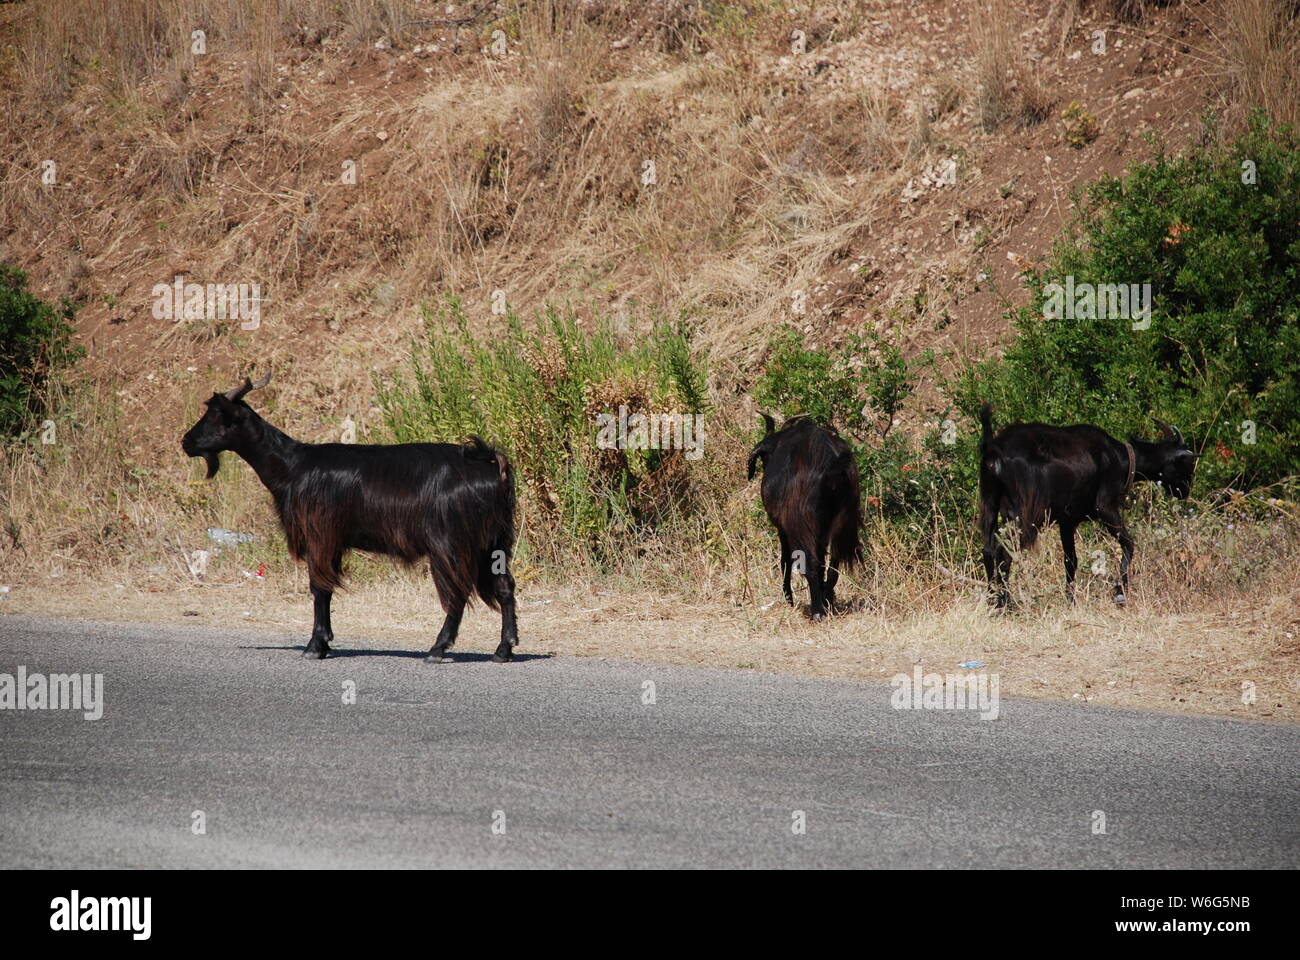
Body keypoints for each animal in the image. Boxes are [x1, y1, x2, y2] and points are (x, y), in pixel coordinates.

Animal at [181, 373, 520, 662]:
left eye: (216, 416)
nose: (186, 442)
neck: (292, 467)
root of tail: (489, 463)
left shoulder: (319, 533)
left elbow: (319, 587)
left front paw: (314, 645)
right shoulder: (333, 541)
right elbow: (327, 588)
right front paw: (325, 641)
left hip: (449, 542)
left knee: (456, 593)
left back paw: (438, 649)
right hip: (495, 541)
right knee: (504, 586)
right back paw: (504, 649)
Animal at [747, 413, 863, 620]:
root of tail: (832, 467)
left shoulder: (784, 528)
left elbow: (786, 560)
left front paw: (789, 599)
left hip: (801, 525)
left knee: (810, 563)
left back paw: (817, 610)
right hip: (842, 522)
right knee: (833, 565)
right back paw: (826, 599)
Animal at [978, 403, 1197, 607]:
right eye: (1186, 465)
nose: (1185, 491)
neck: (1122, 458)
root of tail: (993, 449)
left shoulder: (1067, 521)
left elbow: (1070, 560)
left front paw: (1071, 601)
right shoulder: (1106, 507)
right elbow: (1129, 543)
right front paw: (1120, 593)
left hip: (991, 502)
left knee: (989, 549)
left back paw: (991, 601)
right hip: (1022, 512)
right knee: (1004, 552)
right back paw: (1005, 604)